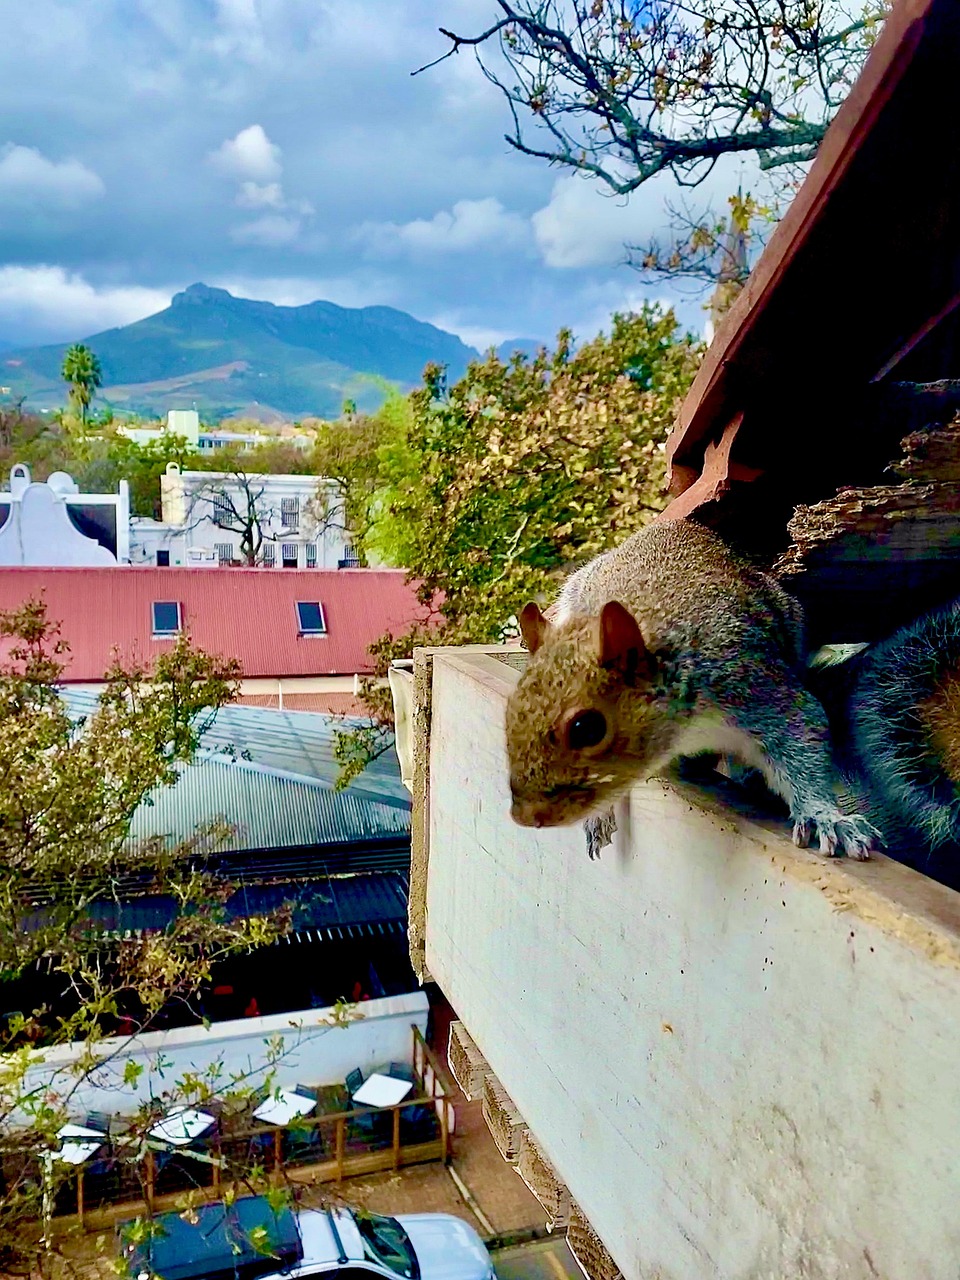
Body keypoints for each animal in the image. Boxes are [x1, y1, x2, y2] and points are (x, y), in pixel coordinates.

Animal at [505, 517, 882, 859]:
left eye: (587, 729)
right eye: (509, 712)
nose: (523, 817)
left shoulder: (753, 685)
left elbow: (802, 738)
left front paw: (826, 817)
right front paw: (599, 815)